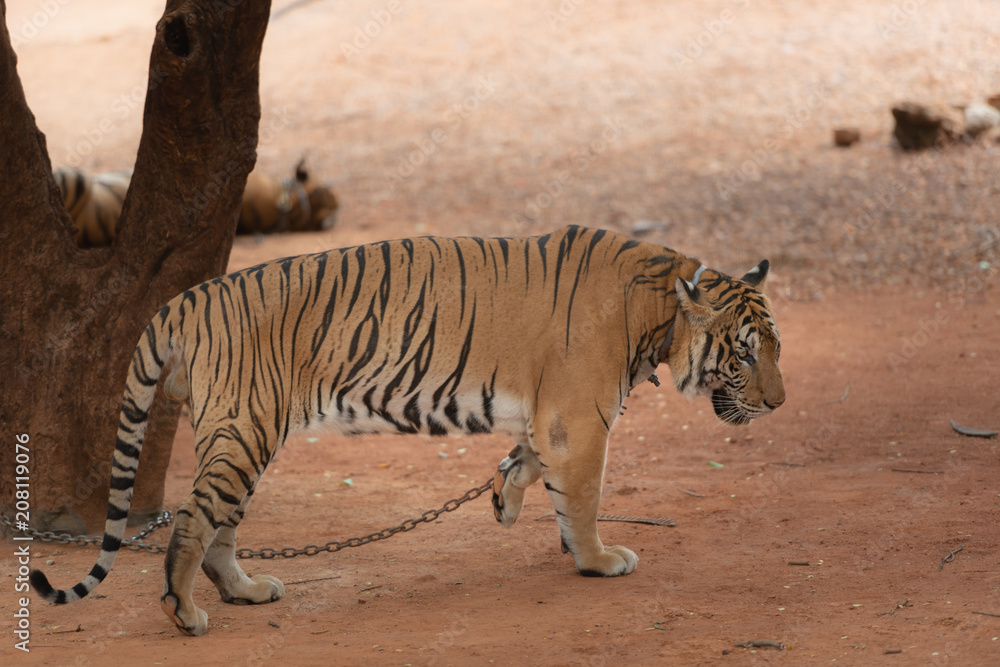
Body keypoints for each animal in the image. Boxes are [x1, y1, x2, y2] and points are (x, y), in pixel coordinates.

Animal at [30, 225, 785, 637]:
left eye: (772, 348)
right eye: (746, 354)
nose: (779, 403)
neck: (660, 308)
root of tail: (181, 300)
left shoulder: (549, 417)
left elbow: (526, 462)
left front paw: (503, 500)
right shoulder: (580, 421)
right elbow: (584, 500)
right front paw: (598, 560)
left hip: (241, 437)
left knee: (220, 524)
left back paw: (244, 590)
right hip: (245, 432)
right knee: (192, 519)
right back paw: (185, 614)